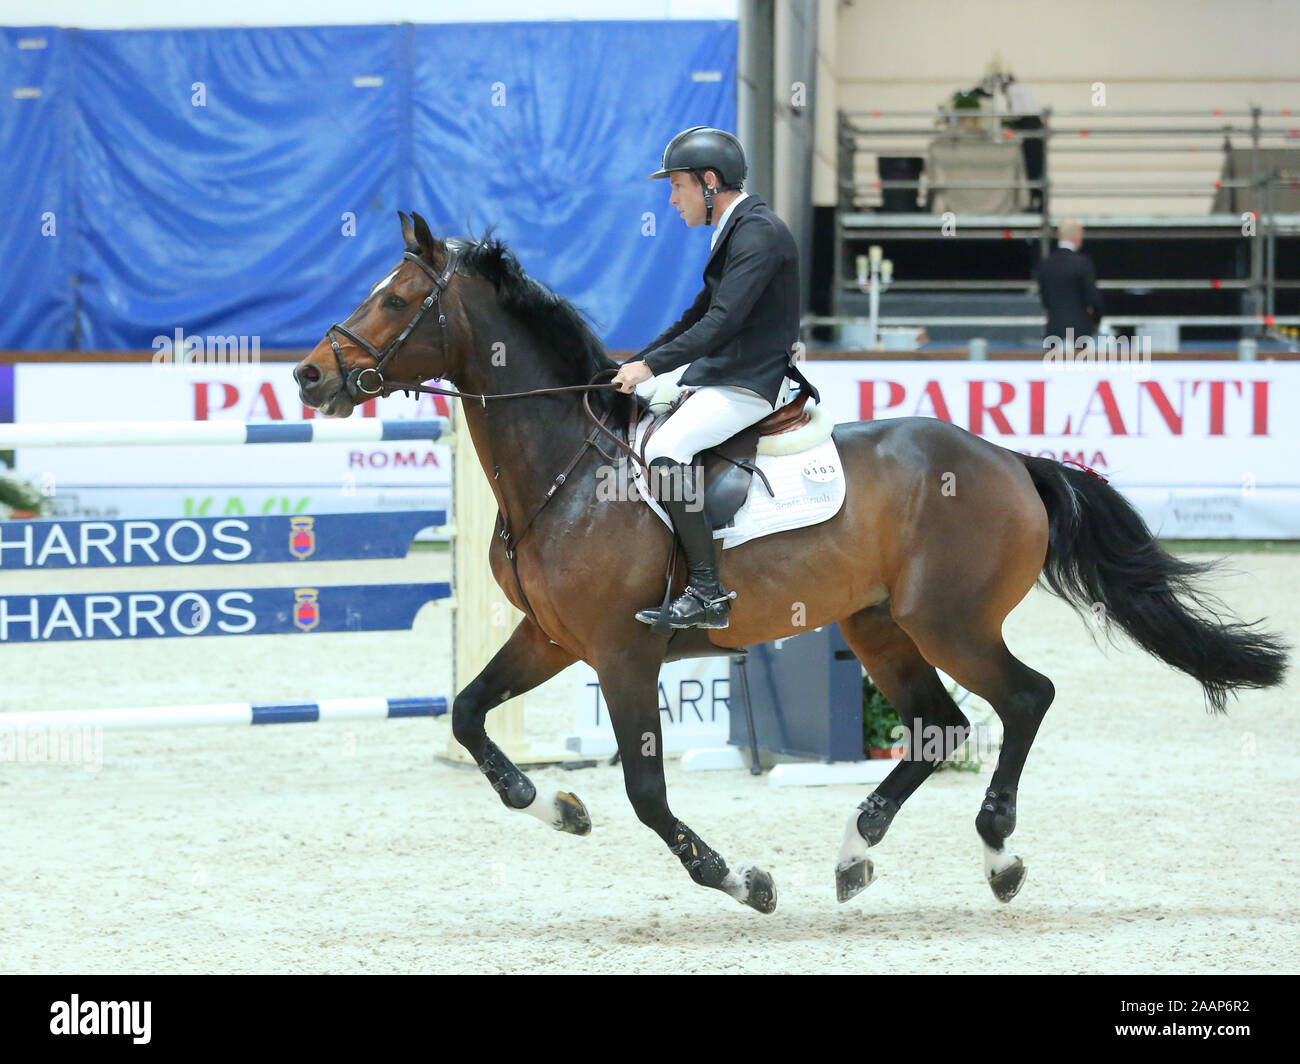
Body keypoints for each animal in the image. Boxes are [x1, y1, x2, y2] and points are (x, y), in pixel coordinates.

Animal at [294, 211, 1289, 913]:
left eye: (395, 300)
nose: (308, 377)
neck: (566, 469)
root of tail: (1007, 460)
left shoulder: (622, 652)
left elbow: (647, 792)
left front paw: (743, 881)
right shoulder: (552, 637)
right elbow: (468, 716)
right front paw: (558, 808)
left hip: (951, 621)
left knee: (1022, 700)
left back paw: (997, 854)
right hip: (880, 625)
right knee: (940, 725)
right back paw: (856, 852)